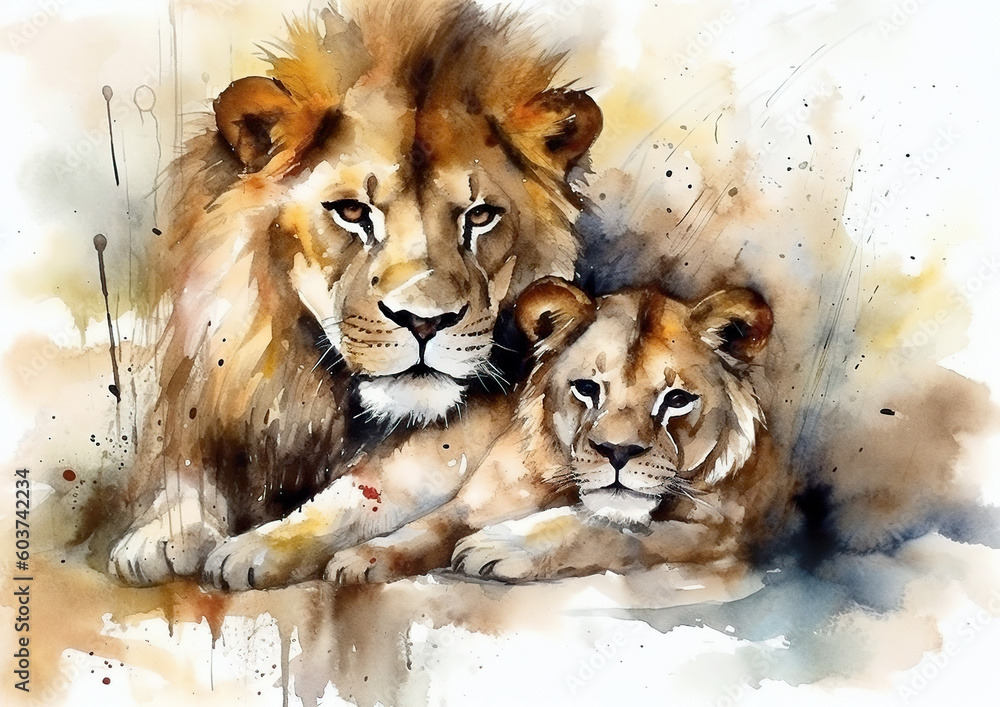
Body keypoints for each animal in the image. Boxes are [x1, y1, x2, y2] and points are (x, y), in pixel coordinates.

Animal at [107, 1, 602, 589]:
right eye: (350, 212)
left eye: (480, 217)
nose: (425, 321)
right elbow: (184, 458)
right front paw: (161, 533)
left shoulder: (478, 430)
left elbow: (369, 490)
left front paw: (263, 545)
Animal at [325, 277, 794, 583]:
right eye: (586, 388)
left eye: (676, 399)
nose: (617, 453)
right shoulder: (474, 504)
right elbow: (429, 527)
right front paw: (362, 559)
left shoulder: (722, 532)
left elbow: (606, 528)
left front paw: (499, 547)